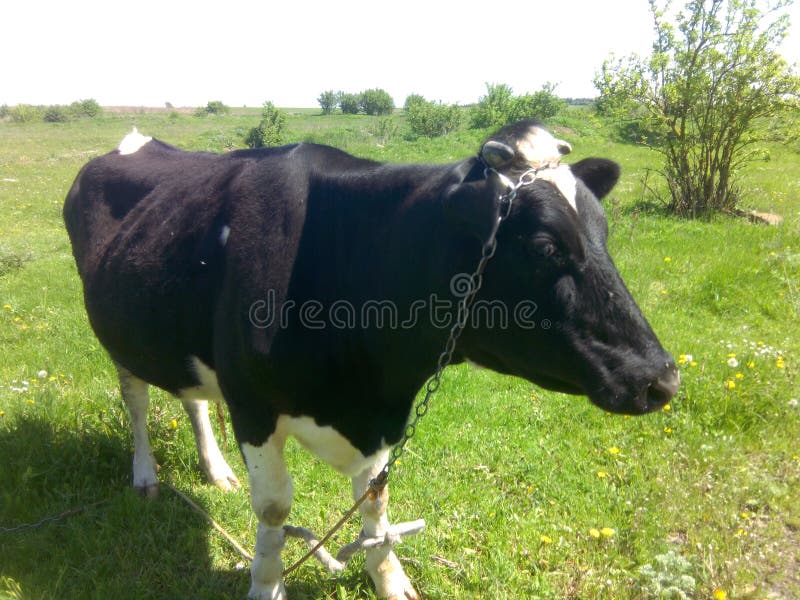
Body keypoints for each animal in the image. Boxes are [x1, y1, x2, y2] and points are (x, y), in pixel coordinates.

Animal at [63, 120, 679, 600]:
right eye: (545, 246)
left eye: (603, 234)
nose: (662, 378)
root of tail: (135, 141)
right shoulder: (253, 403)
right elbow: (274, 511)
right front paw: (267, 581)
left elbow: (376, 500)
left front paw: (389, 578)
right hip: (117, 333)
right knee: (137, 401)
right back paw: (146, 475)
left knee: (190, 398)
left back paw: (215, 470)